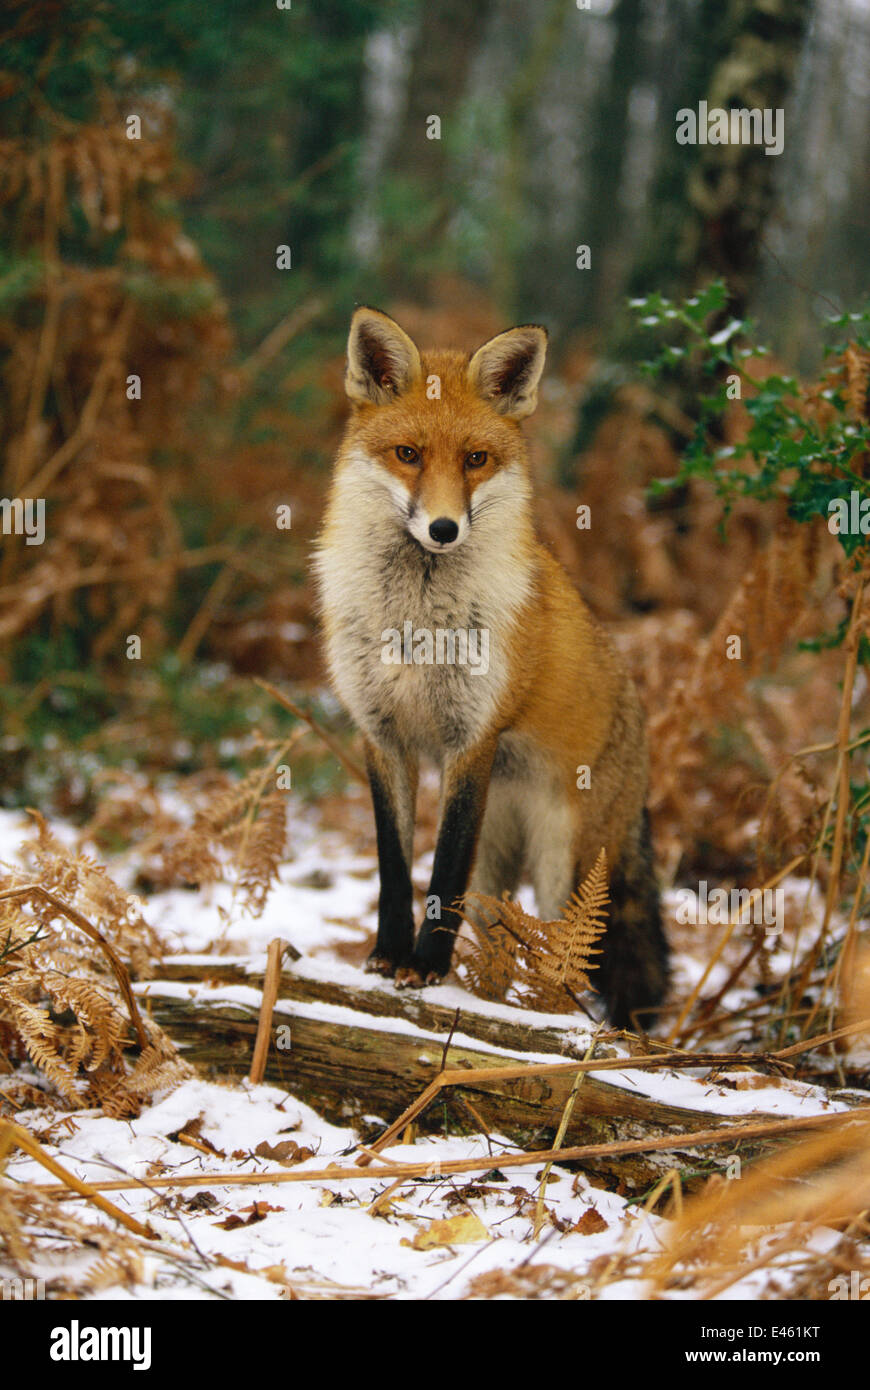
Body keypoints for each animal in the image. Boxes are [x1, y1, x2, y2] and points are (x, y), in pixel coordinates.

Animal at [314, 306, 669, 1028]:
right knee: (501, 944)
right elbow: (395, 869)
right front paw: (388, 956)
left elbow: (441, 871)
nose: (444, 529)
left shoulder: (470, 742)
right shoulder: (381, 735)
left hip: (565, 864)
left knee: (567, 955)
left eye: (475, 459)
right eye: (409, 454)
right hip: (499, 871)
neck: (415, 626)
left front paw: (423, 967)